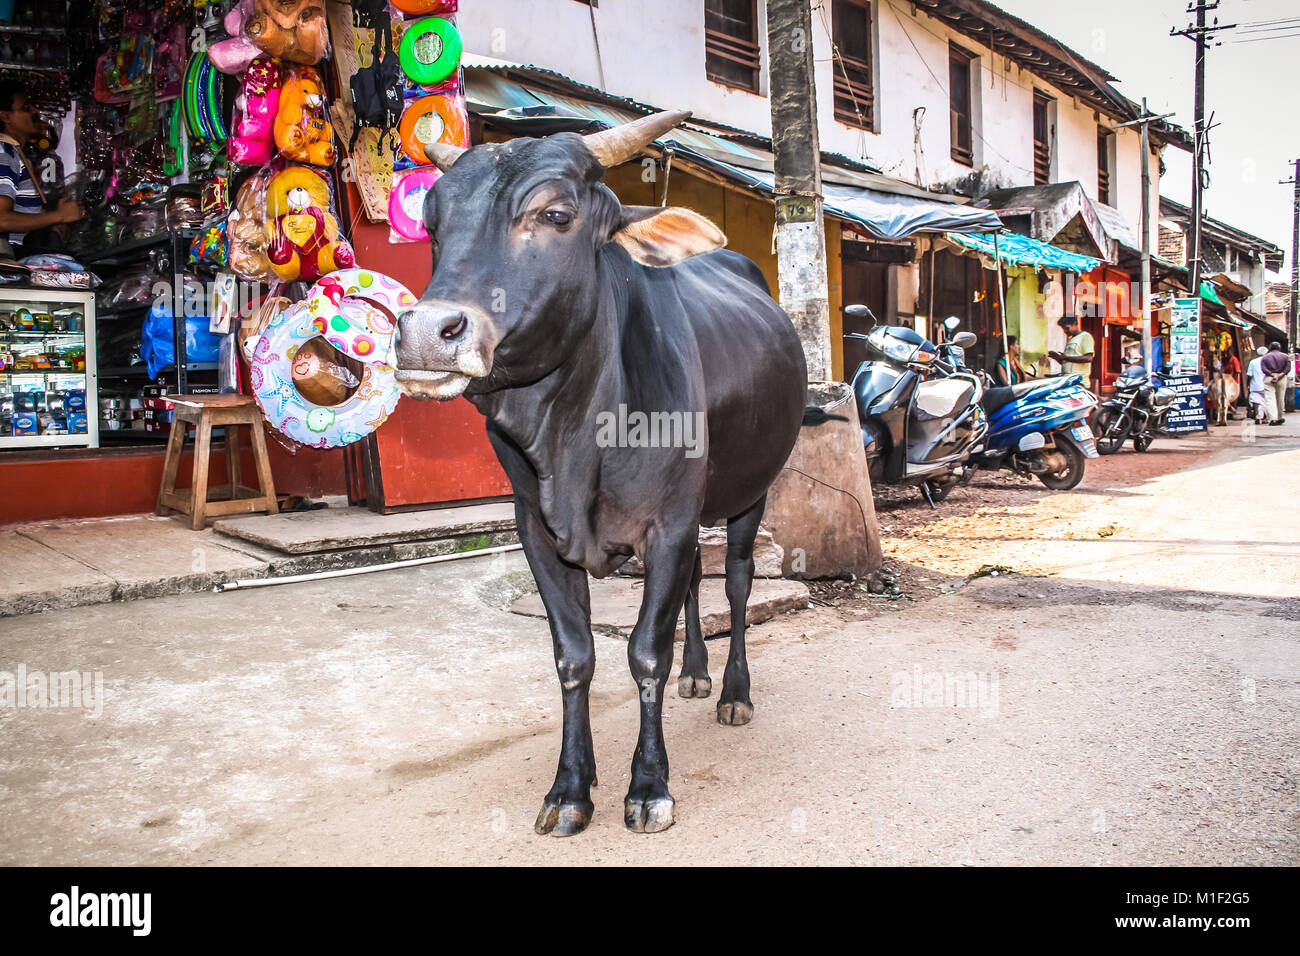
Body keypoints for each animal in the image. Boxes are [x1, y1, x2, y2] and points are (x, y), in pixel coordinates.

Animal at [393, 110, 809, 836]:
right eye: (435, 223)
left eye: (555, 214)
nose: (423, 334)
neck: (573, 435)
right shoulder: (537, 530)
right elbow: (574, 655)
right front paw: (570, 788)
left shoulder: (668, 524)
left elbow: (645, 651)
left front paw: (648, 785)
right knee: (697, 585)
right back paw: (697, 674)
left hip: (750, 493)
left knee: (734, 582)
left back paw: (733, 691)